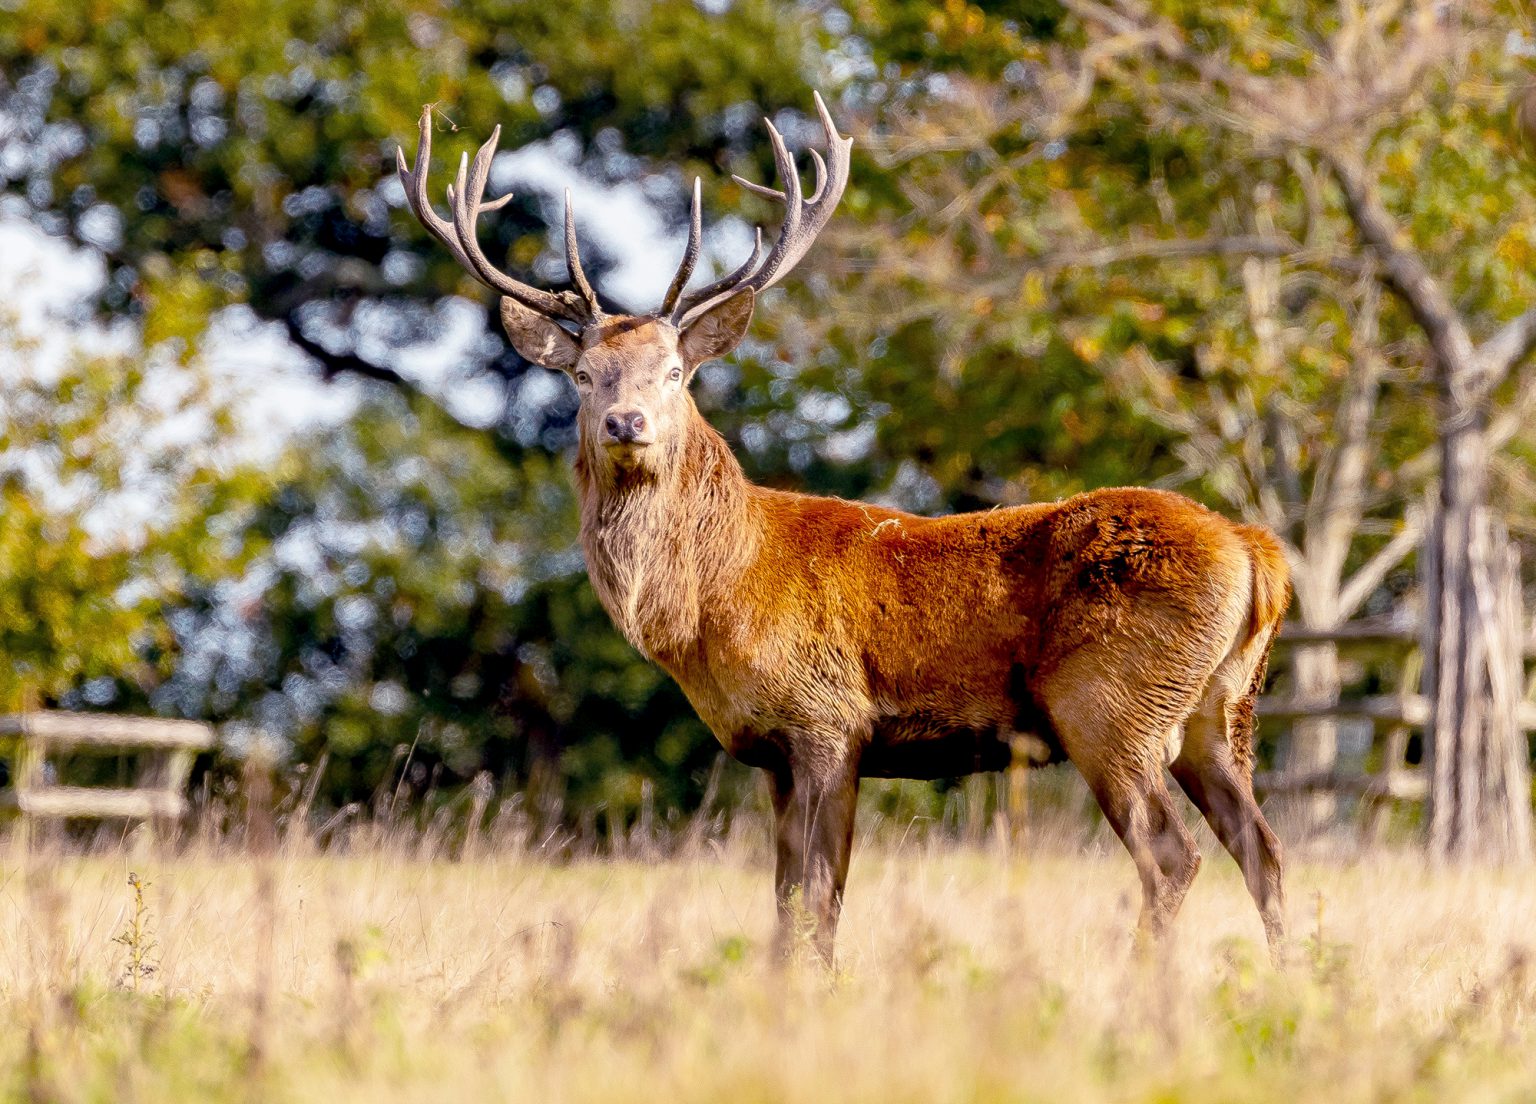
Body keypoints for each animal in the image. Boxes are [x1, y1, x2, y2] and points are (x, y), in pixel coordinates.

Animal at [395, 93, 1290, 964]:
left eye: (676, 372)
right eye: (584, 374)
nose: (625, 422)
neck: (715, 599)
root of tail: (1259, 554)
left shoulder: (828, 718)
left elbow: (818, 904)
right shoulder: (772, 753)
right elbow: (786, 904)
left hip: (1110, 703)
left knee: (1173, 857)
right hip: (1220, 715)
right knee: (1265, 852)